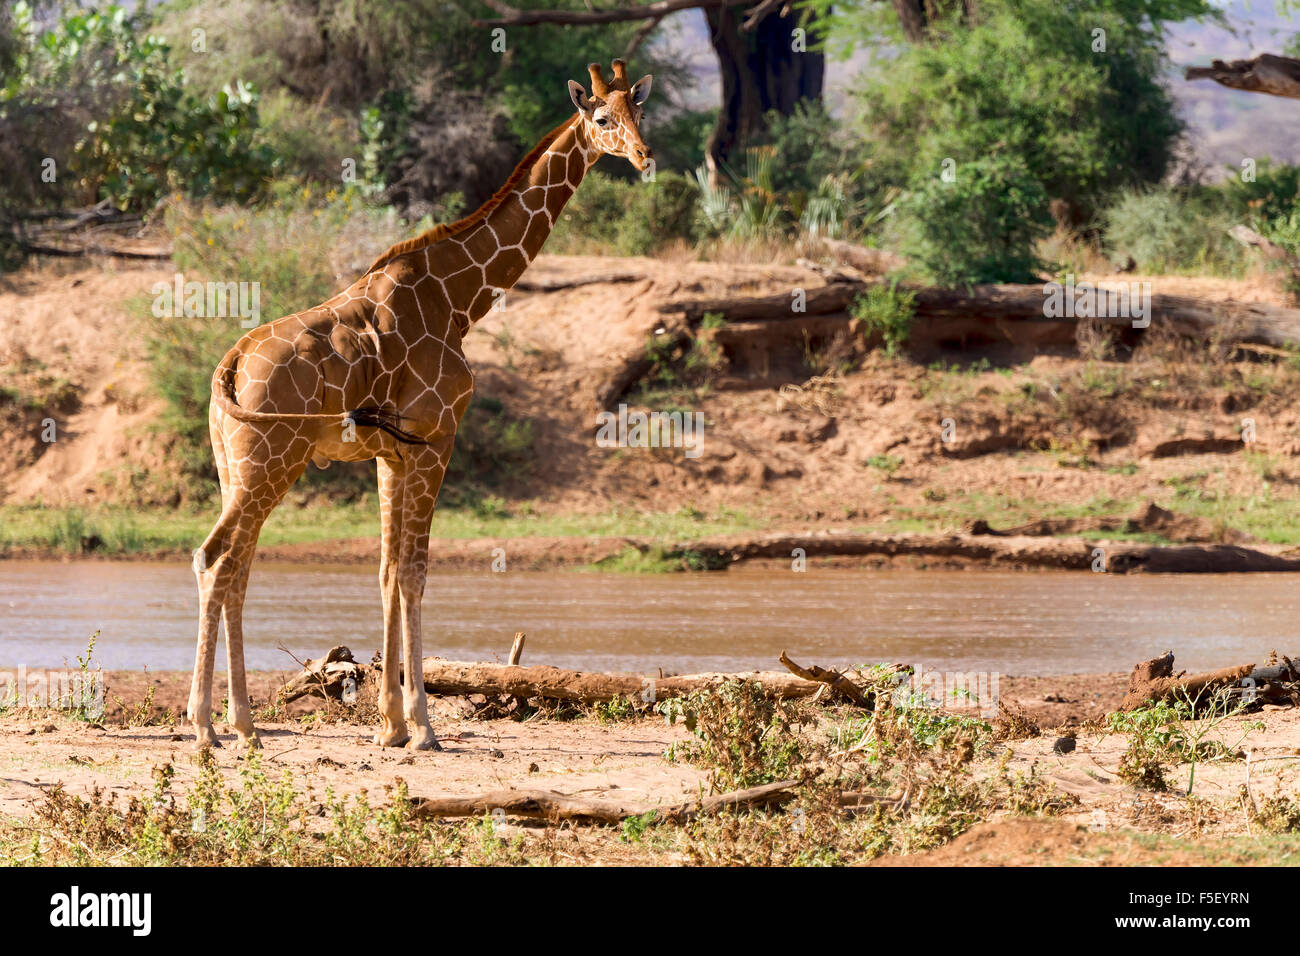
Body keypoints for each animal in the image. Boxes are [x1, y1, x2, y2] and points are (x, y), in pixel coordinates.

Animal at [187, 60, 654, 750]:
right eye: (602, 118)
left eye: (639, 111)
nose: (646, 156)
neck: (460, 298)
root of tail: (232, 363)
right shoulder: (438, 438)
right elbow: (415, 572)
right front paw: (423, 728)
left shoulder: (391, 453)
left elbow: (386, 571)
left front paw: (389, 725)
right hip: (270, 460)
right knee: (217, 559)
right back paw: (207, 727)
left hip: (234, 463)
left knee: (236, 565)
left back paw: (242, 726)